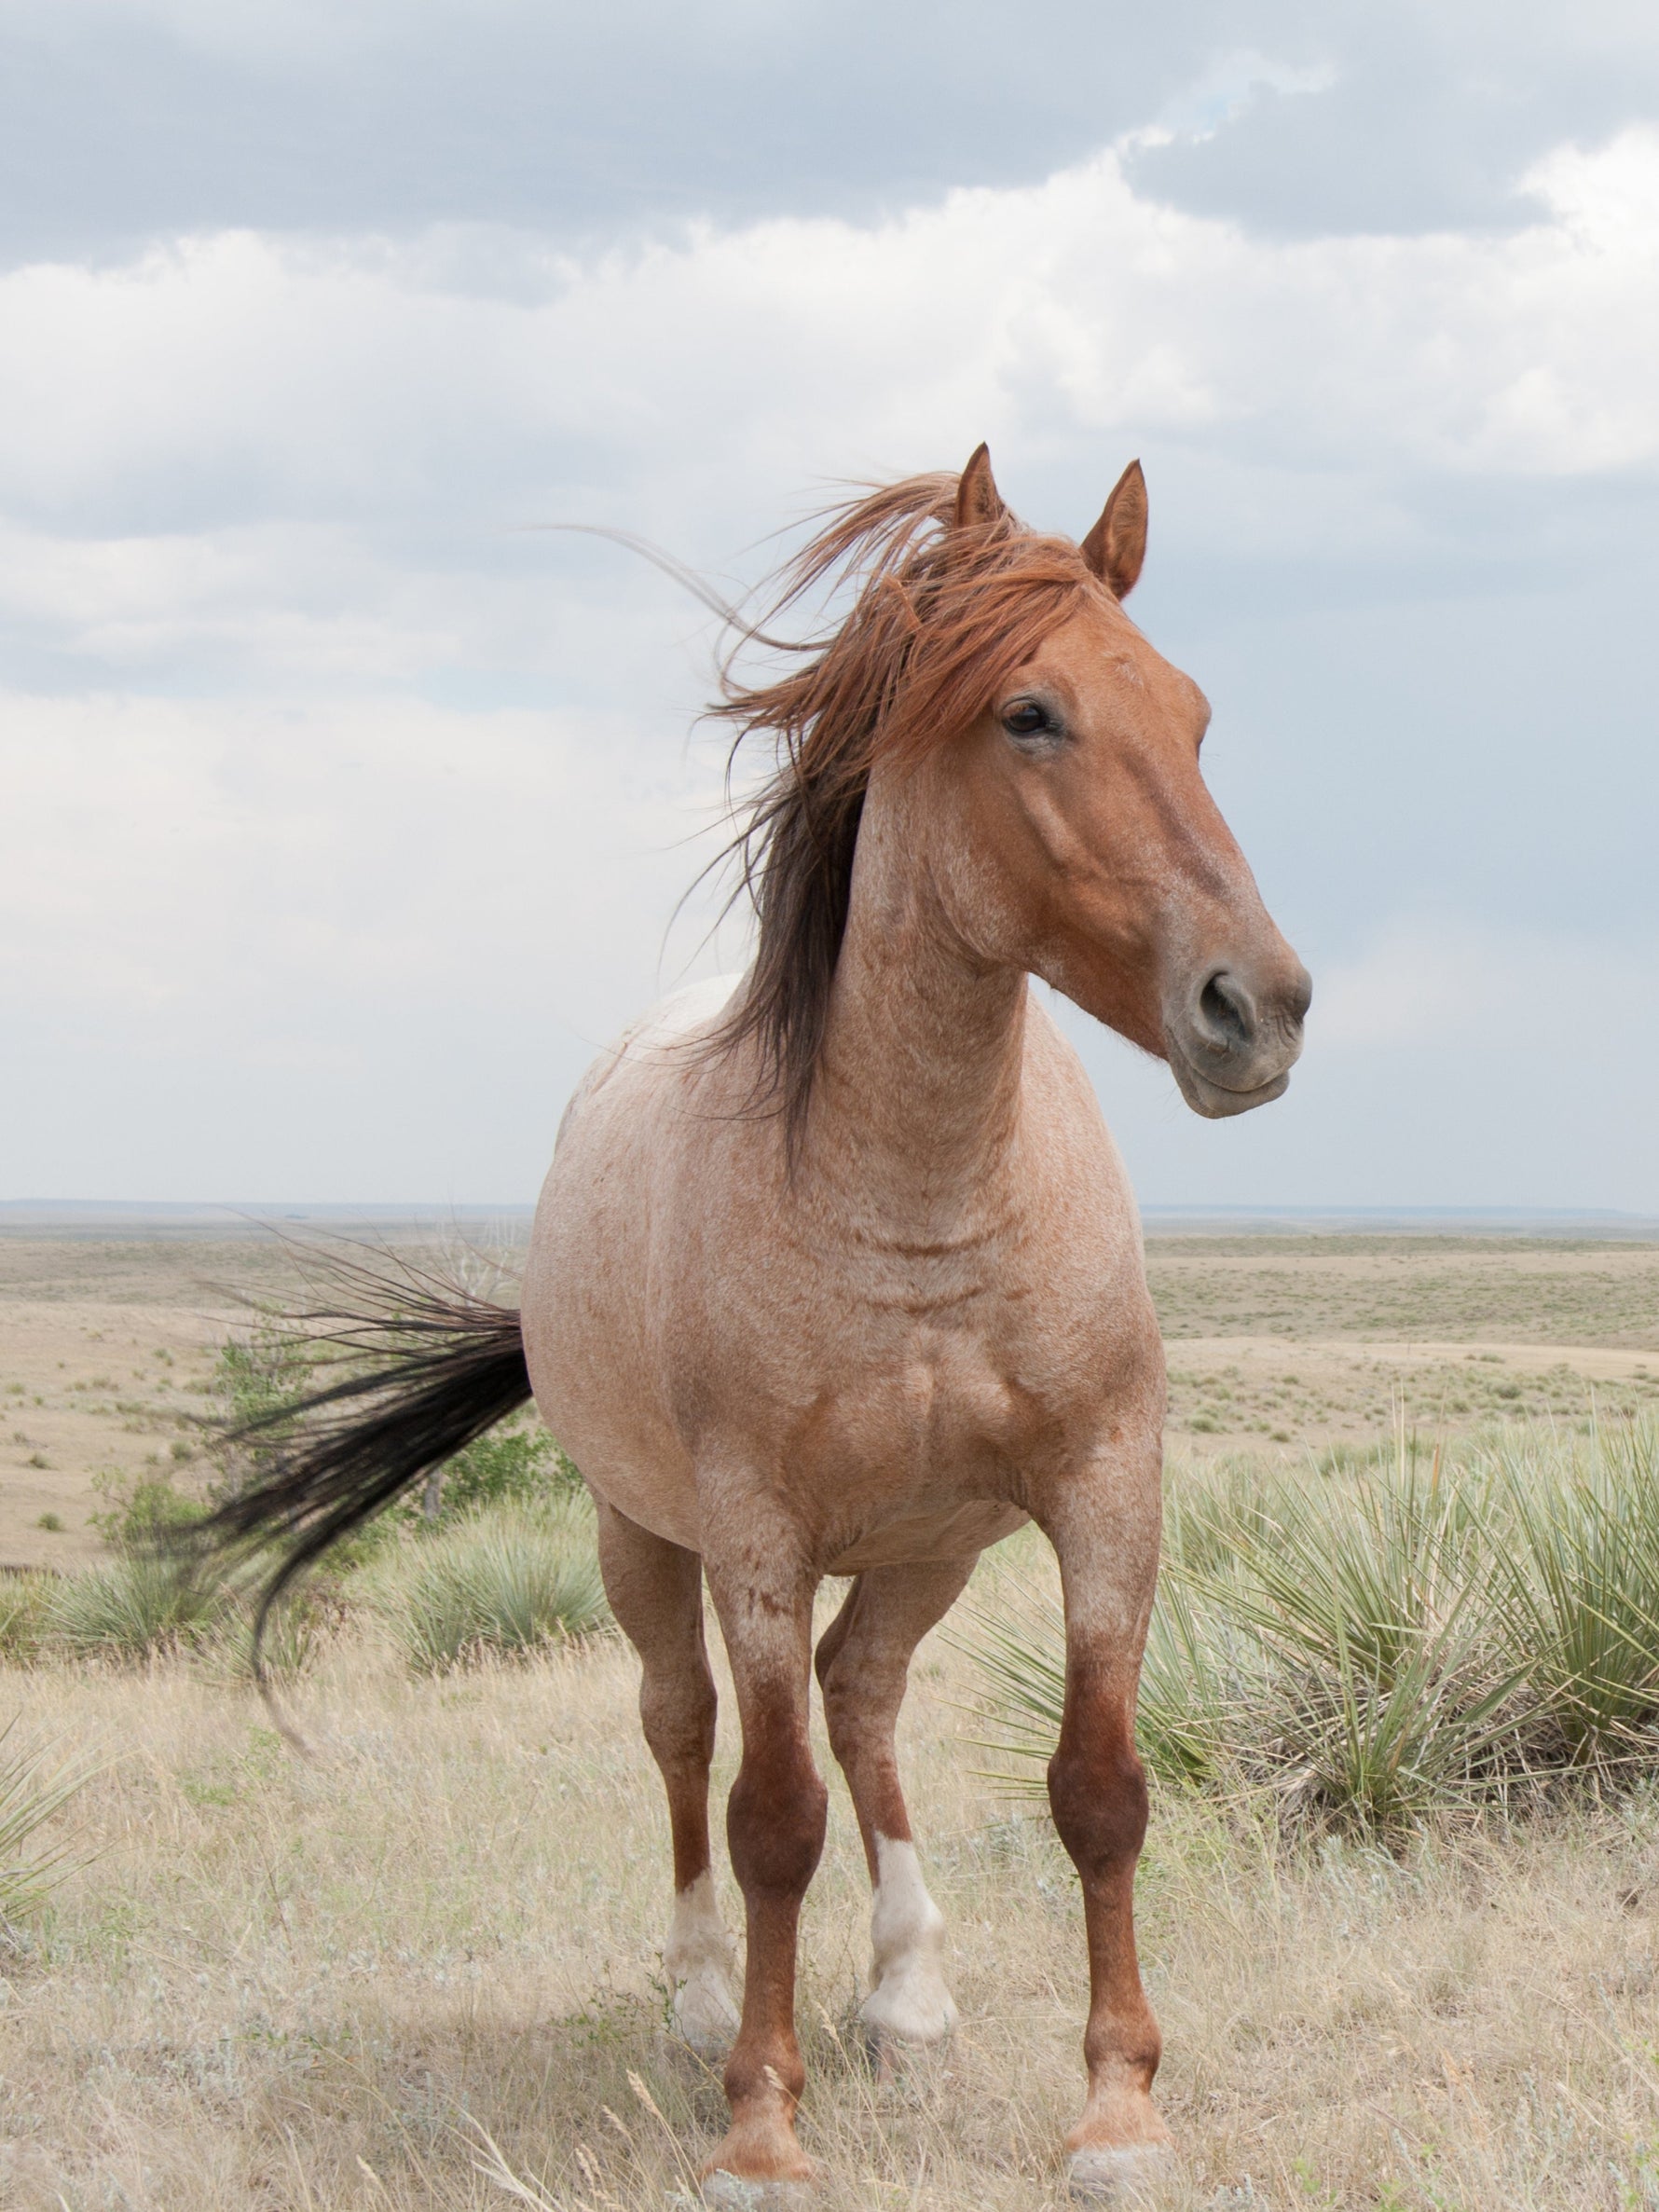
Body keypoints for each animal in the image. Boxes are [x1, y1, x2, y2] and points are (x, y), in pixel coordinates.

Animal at [203, 445, 1310, 2202]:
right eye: (1032, 715)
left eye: (1194, 715)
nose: (1255, 1007)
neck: (919, 1189)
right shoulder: (755, 1531)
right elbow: (769, 1814)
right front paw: (761, 2122)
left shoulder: (1101, 1484)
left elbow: (1099, 1784)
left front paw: (1120, 2110)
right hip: (642, 1541)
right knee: (684, 1734)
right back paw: (699, 1999)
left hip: (930, 1543)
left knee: (866, 1694)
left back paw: (910, 1994)